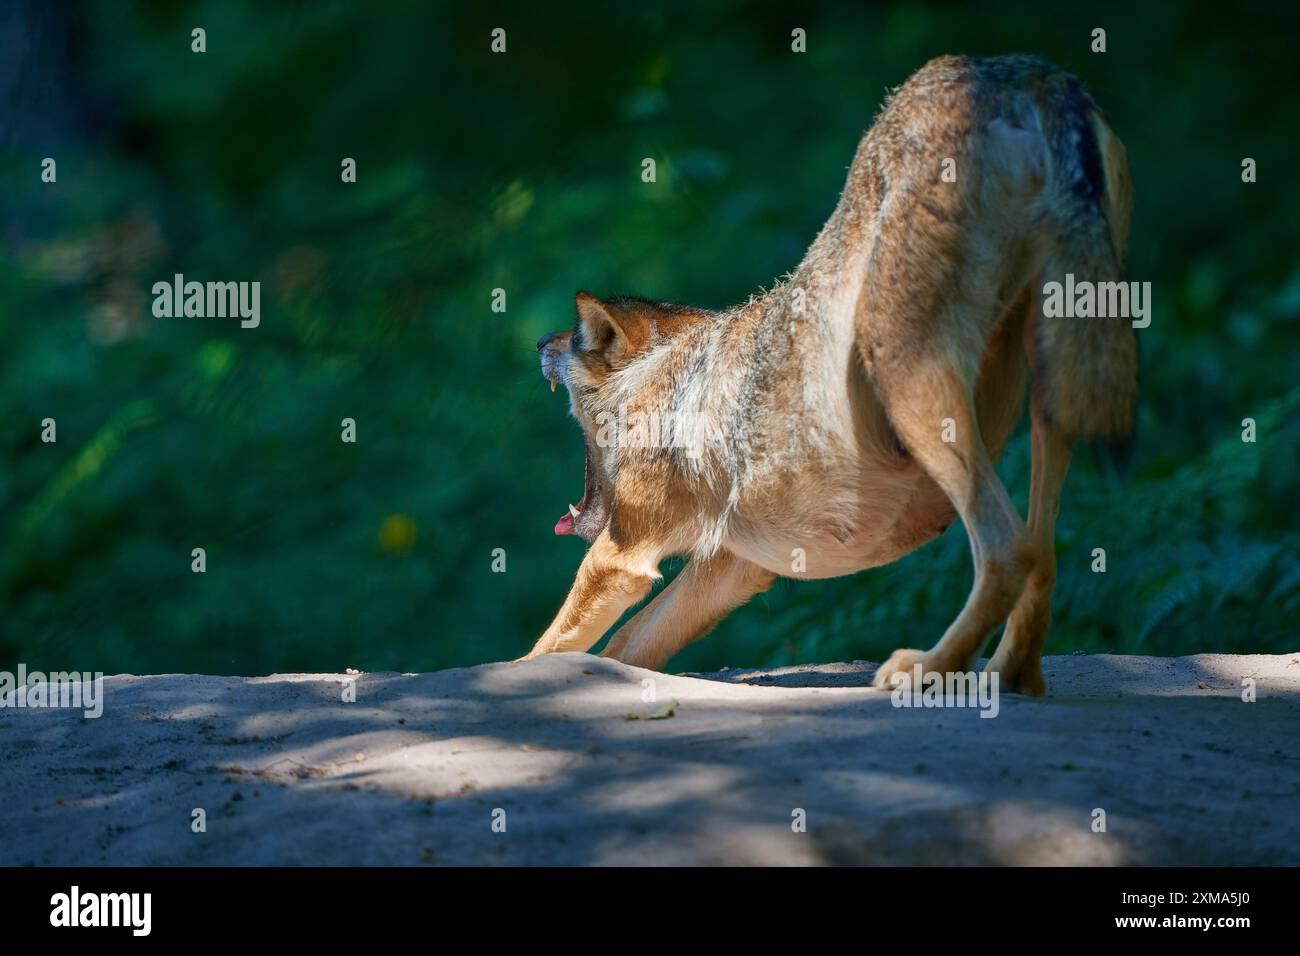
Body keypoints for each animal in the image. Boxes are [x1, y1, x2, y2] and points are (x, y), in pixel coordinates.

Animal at [525, 54, 1135, 695]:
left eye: (571, 336)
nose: (538, 342)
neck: (660, 377)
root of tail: (1025, 72)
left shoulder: (623, 557)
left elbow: (544, 650)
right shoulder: (730, 568)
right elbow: (624, 647)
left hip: (907, 375)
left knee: (1009, 548)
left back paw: (925, 670)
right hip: (1054, 383)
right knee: (1044, 549)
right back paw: (1009, 676)